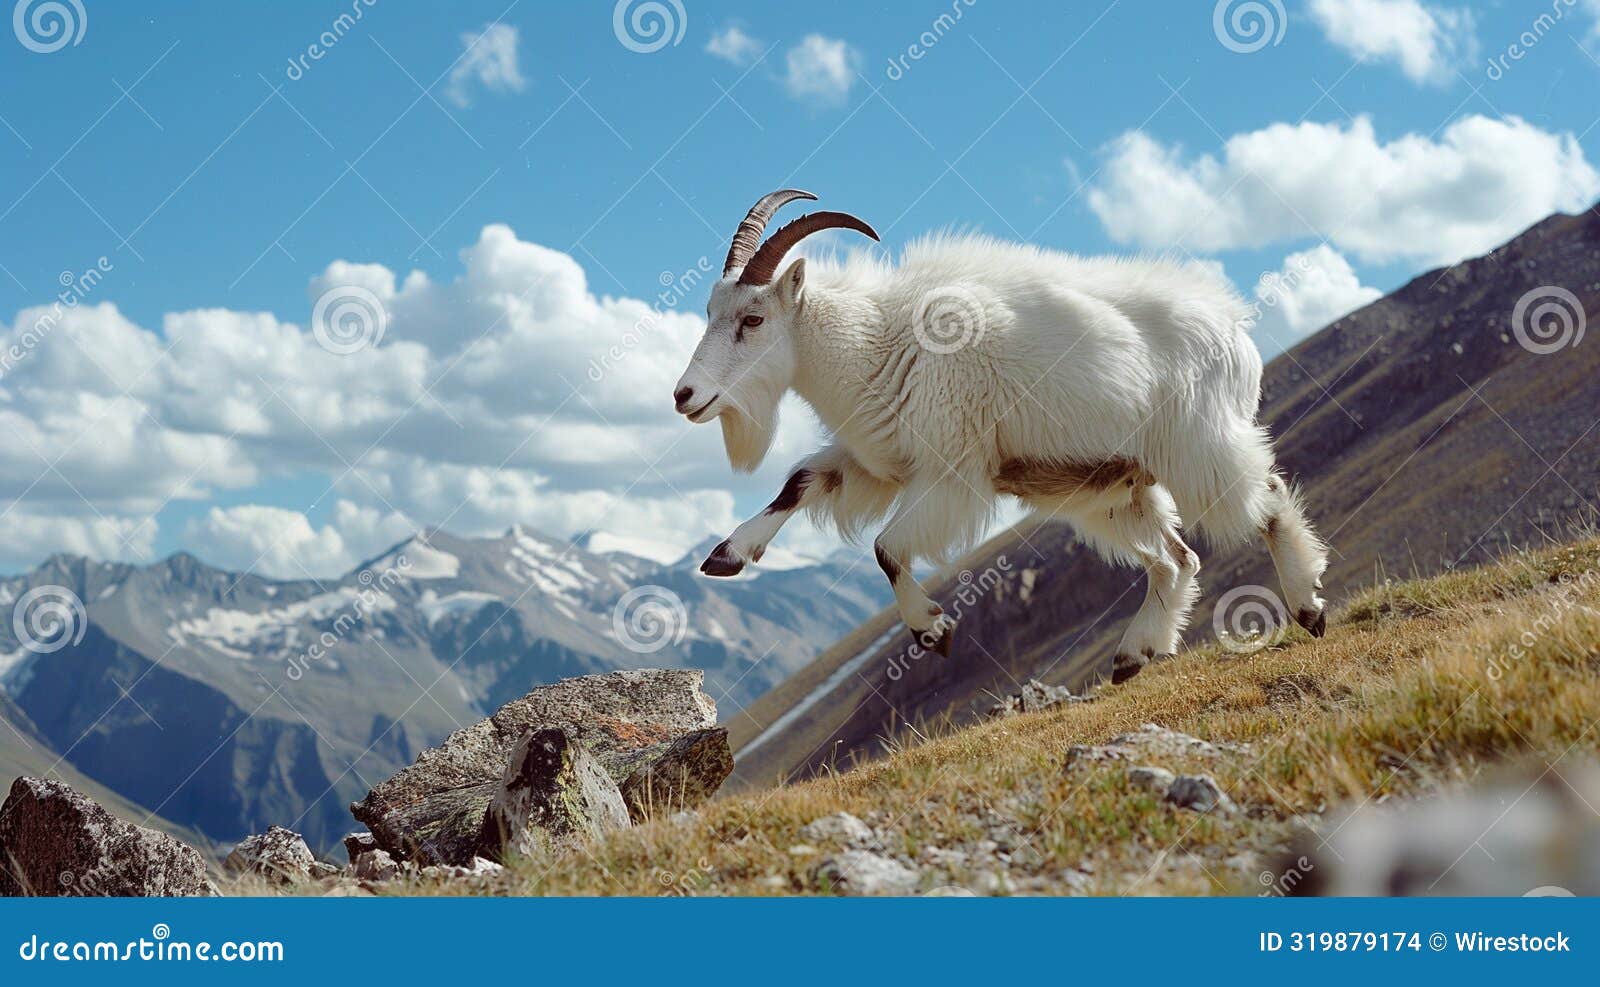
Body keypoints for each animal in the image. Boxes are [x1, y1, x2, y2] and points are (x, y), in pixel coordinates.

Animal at [673, 190, 1330, 683]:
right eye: (709, 314)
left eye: (753, 319)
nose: (684, 396)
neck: (877, 344)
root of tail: (1236, 331)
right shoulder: (879, 463)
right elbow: (801, 482)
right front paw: (727, 555)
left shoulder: (950, 474)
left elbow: (886, 548)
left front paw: (933, 628)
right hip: (1114, 489)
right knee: (1175, 559)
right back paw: (1134, 654)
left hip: (1199, 448)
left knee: (1266, 501)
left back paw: (1308, 607)